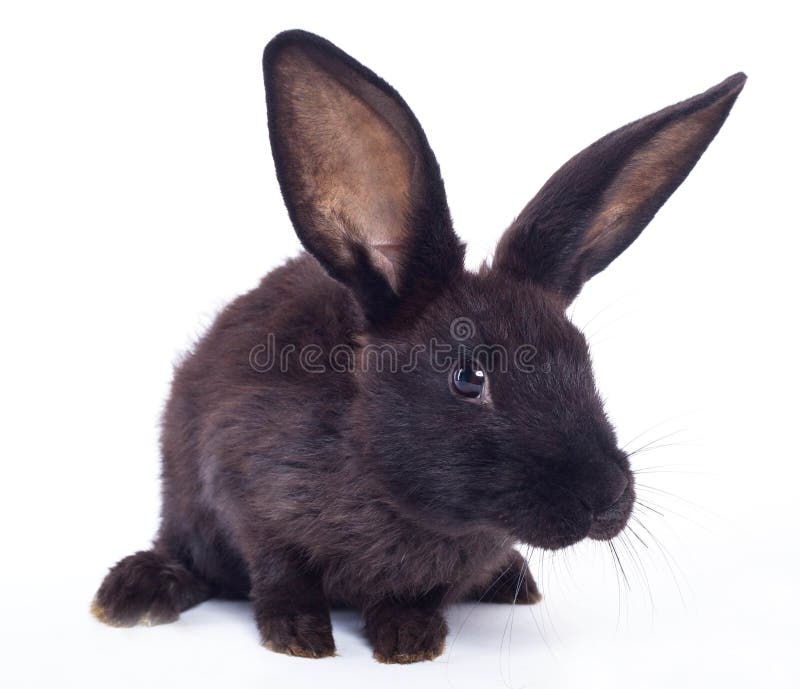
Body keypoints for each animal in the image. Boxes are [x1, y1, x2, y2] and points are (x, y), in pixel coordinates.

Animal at [91, 29, 745, 663]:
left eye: (584, 360)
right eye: (468, 378)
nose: (606, 497)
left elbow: (417, 594)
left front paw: (409, 639)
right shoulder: (247, 498)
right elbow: (281, 575)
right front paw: (299, 637)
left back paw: (514, 585)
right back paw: (132, 594)